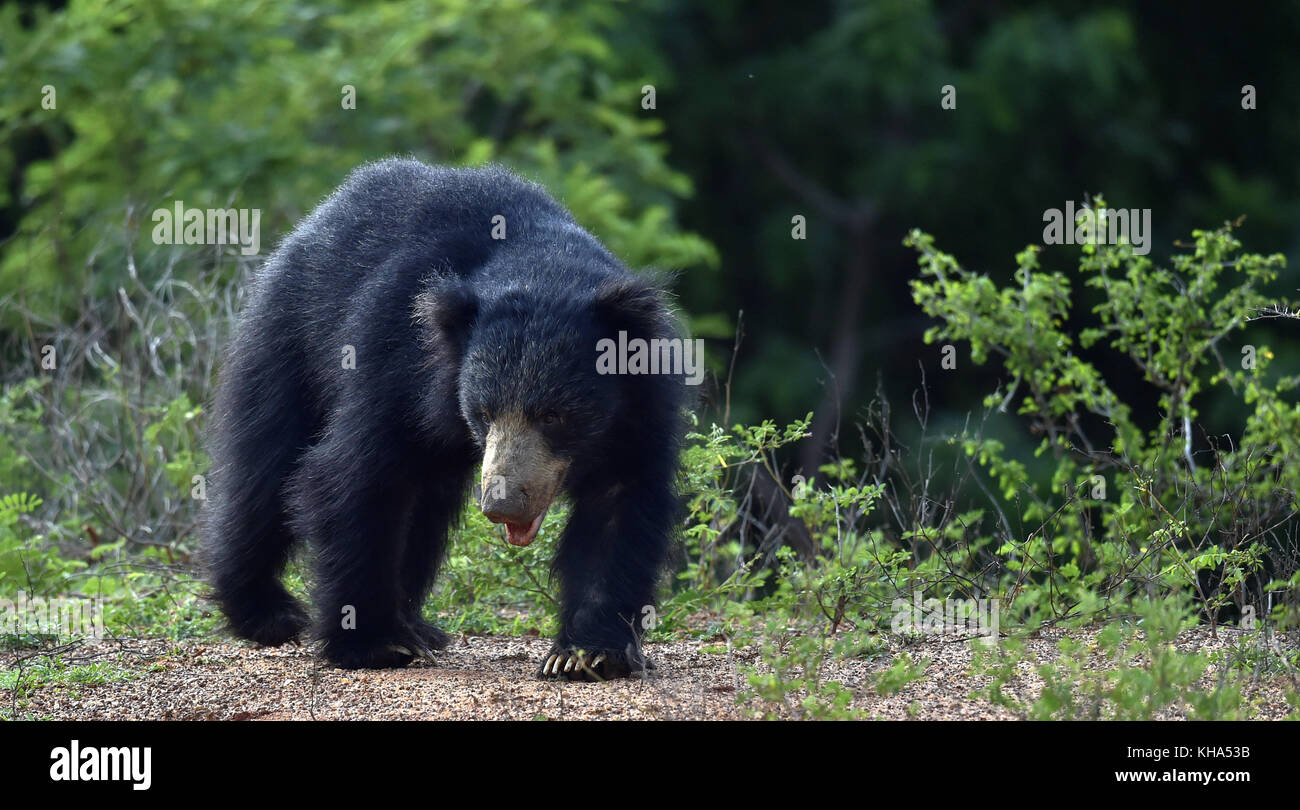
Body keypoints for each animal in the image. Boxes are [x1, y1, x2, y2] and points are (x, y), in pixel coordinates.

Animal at [201, 158, 687, 679]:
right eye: (484, 413)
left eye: (554, 416)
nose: (502, 505)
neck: (542, 265)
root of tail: (314, 220)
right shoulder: (397, 363)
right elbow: (354, 477)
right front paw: (375, 644)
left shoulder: (641, 406)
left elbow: (620, 503)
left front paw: (585, 654)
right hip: (291, 341)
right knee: (265, 470)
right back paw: (268, 614)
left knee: (424, 509)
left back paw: (419, 626)